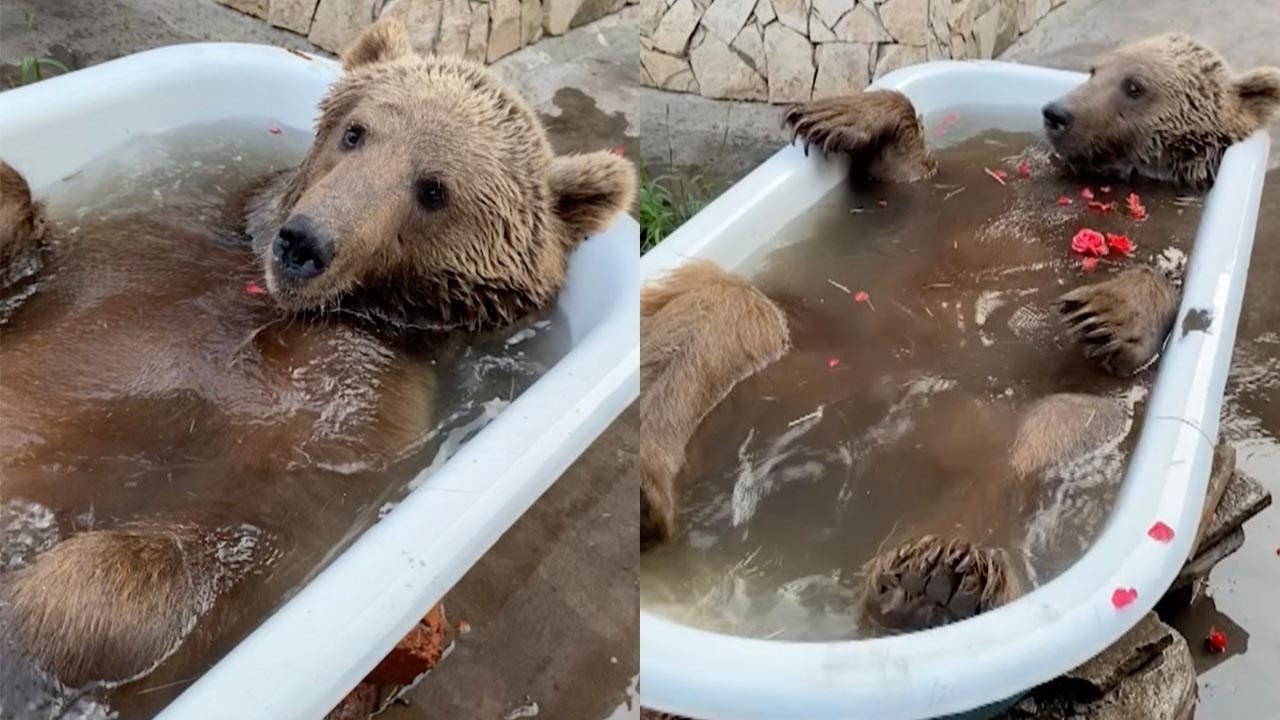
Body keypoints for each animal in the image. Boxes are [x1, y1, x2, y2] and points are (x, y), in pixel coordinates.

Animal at [0, 16, 634, 704]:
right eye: (356, 131)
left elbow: (264, 516)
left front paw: (46, 606)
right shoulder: (131, 254)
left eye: (434, 189)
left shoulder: (357, 396)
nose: (303, 243)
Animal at [641, 33, 1278, 635]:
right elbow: (909, 180)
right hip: (816, 343)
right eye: (1096, 69)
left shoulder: (1179, 224)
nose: (1057, 112)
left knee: (1045, 435)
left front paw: (1107, 311)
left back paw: (940, 576)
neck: (1120, 182)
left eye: (1135, 85)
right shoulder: (976, 187)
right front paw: (842, 115)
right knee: (730, 309)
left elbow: (1169, 285)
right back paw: (649, 490)